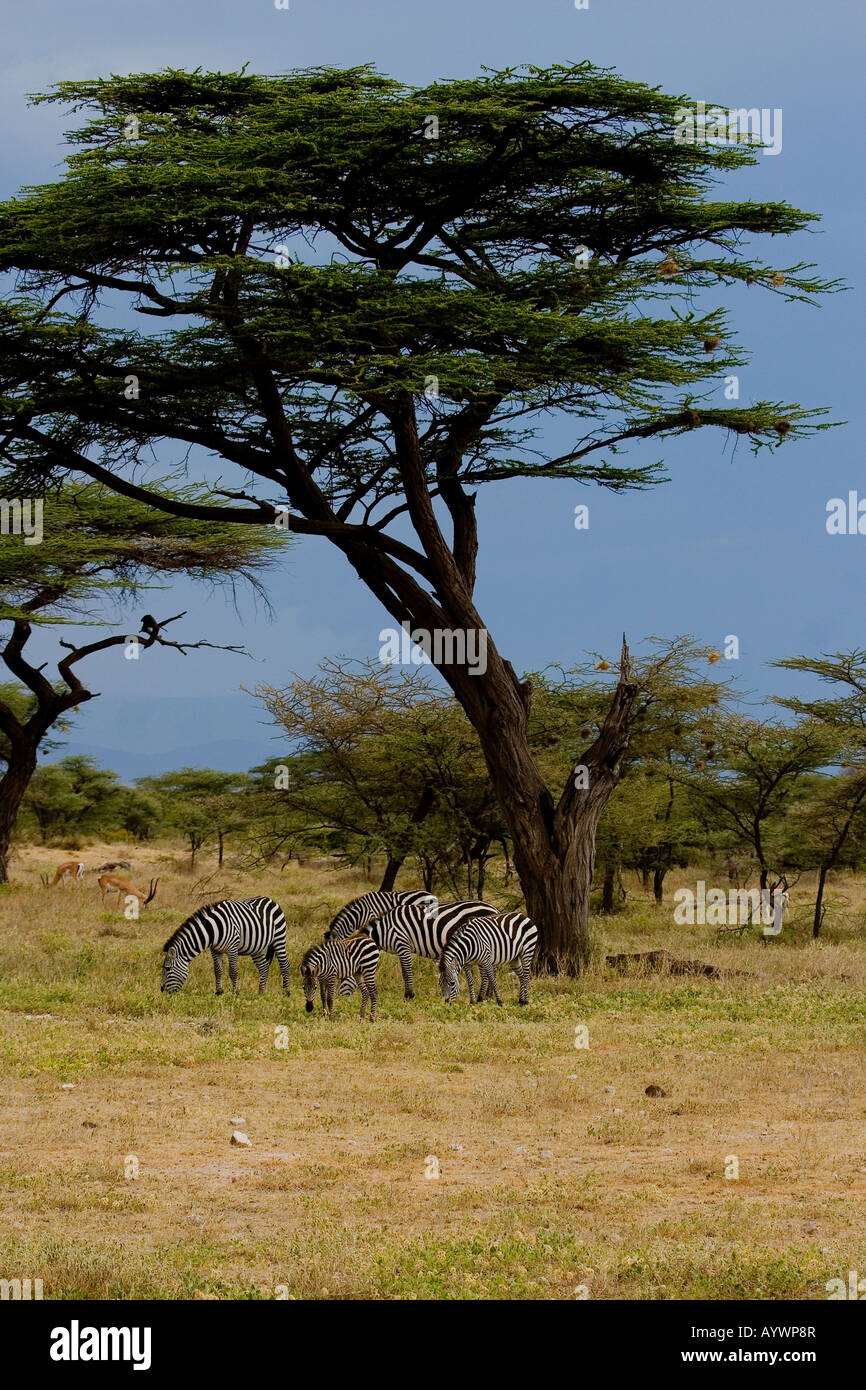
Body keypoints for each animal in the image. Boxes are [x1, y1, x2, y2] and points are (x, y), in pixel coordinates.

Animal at [161, 897, 291, 995]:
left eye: (167, 969)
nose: (162, 991)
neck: (213, 930)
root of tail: (270, 899)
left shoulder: (232, 948)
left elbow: (233, 972)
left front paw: (234, 993)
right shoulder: (215, 950)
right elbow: (217, 971)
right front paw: (219, 992)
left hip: (279, 938)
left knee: (285, 965)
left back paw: (286, 992)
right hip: (256, 947)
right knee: (264, 967)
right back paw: (261, 992)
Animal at [332, 896, 499, 1000]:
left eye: (343, 976)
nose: (340, 997)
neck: (385, 929)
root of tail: (494, 908)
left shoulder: (402, 944)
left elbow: (406, 971)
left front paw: (409, 995)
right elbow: (404, 971)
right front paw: (408, 994)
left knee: (486, 971)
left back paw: (483, 996)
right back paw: (489, 994)